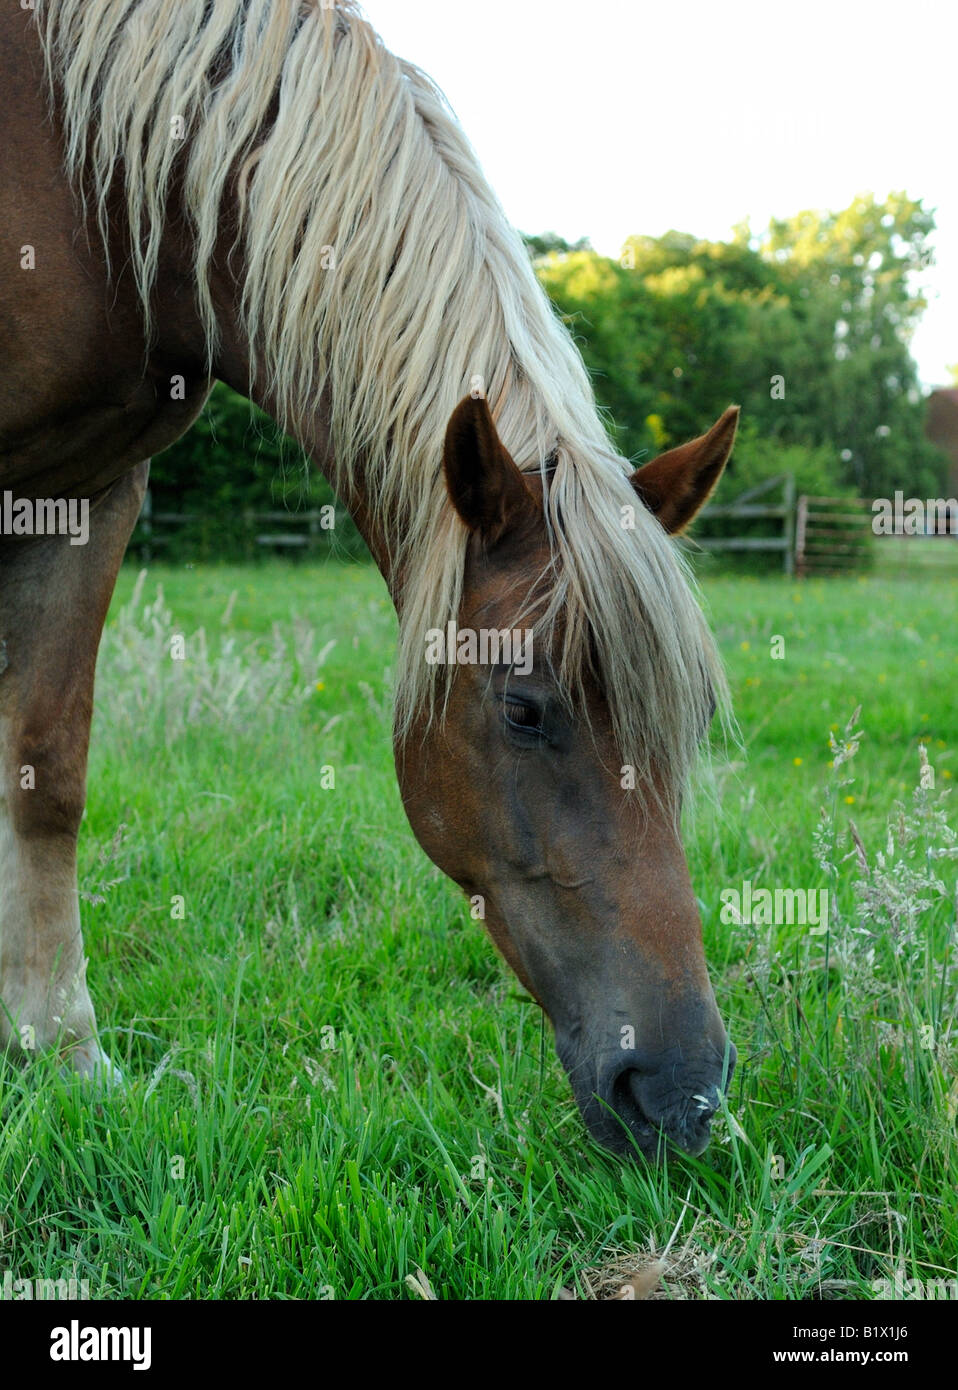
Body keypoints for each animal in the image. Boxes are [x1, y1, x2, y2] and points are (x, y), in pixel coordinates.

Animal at [0, 0, 738, 1159]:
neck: (87, 186)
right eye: (524, 709)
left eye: (695, 718)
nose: (682, 1096)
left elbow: (47, 776)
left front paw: (63, 1055)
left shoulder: (90, 492)